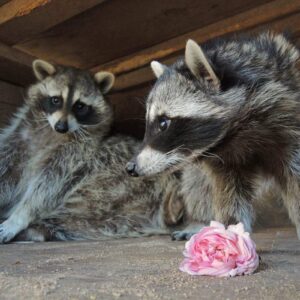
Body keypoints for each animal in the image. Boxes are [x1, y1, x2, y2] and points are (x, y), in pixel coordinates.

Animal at [0, 59, 183, 243]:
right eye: (55, 100)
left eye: (80, 106)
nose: (61, 127)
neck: (53, 134)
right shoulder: (21, 137)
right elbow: (7, 169)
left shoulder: (75, 154)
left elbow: (49, 185)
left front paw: (20, 216)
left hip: (108, 185)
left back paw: (36, 230)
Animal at [126, 32, 300, 239]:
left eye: (163, 123)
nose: (130, 167)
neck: (230, 137)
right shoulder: (222, 161)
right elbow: (228, 195)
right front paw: (230, 229)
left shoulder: (287, 122)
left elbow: (295, 176)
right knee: (197, 183)